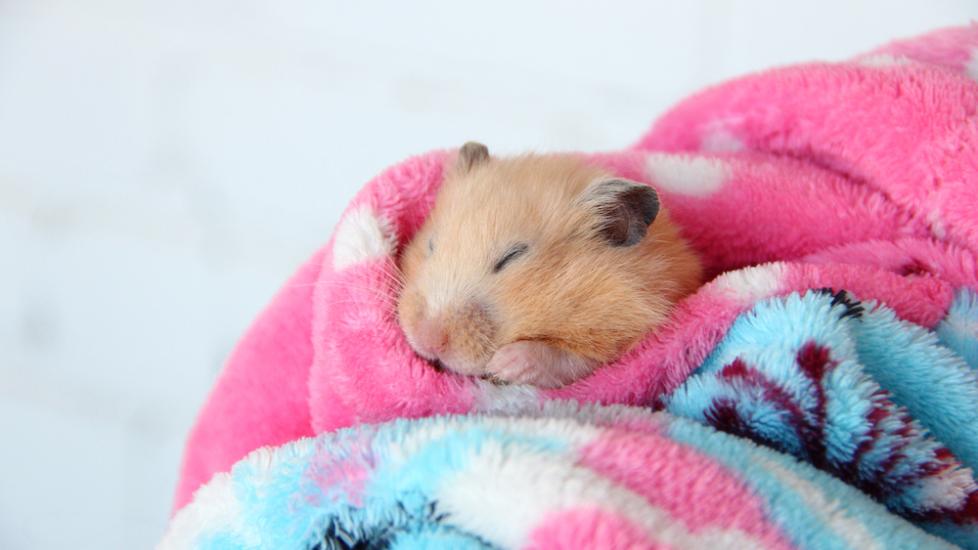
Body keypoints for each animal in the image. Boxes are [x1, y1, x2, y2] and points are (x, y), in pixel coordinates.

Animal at [396, 142, 703, 388]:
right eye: (431, 245)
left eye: (512, 257)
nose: (426, 339)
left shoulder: (632, 330)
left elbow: (572, 359)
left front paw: (504, 364)